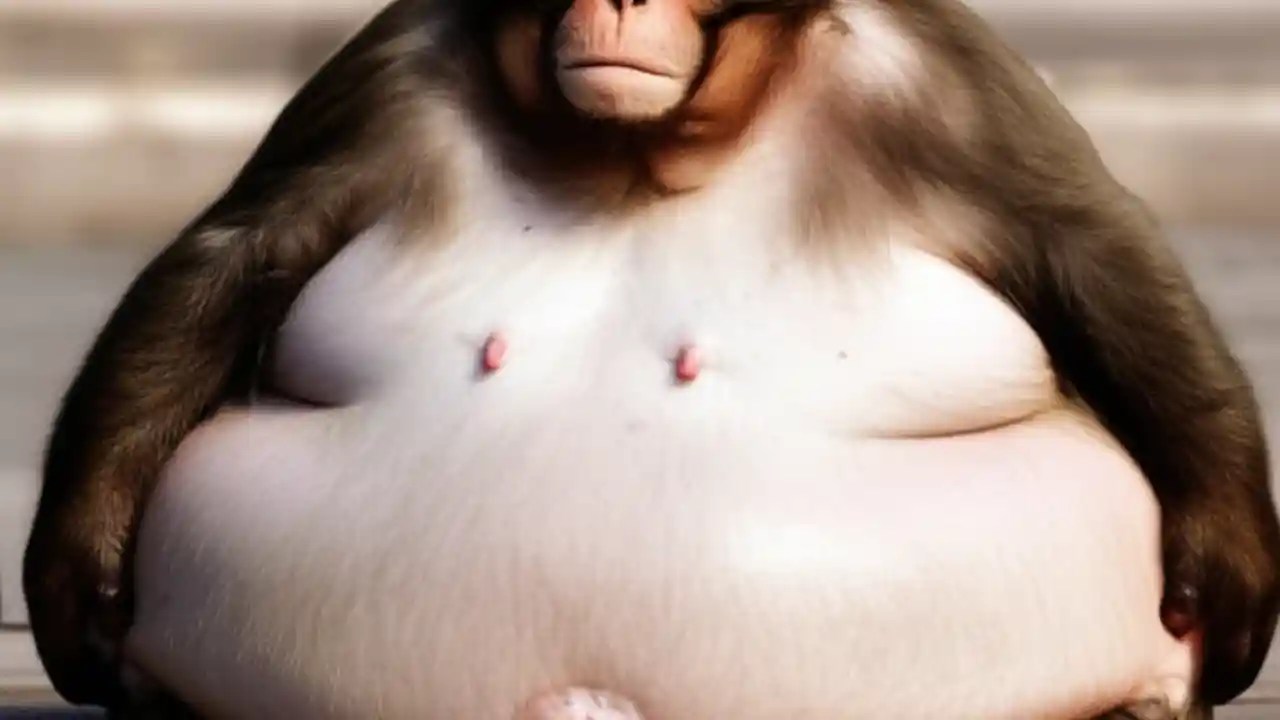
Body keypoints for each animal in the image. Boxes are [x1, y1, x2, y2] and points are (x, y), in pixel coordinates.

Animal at [22, 0, 1280, 717]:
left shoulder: (941, 73)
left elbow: (1096, 252)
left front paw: (1225, 572)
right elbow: (234, 252)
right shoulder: (386, 66)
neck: (639, 144)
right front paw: (78, 565)